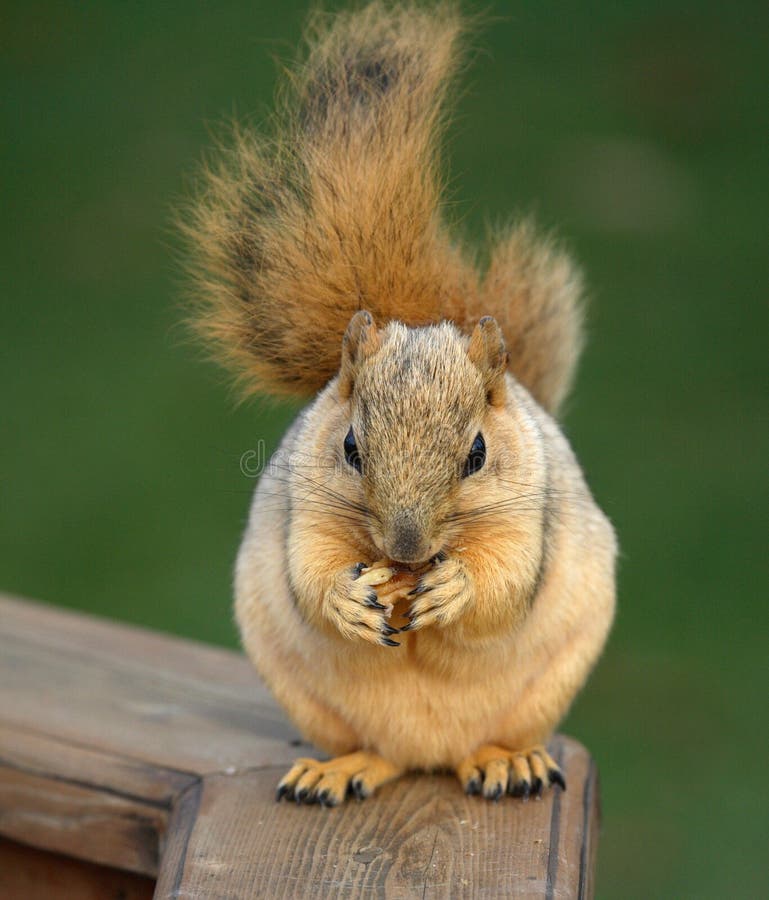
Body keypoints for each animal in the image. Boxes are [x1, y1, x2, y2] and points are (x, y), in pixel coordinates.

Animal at [183, 1, 616, 805]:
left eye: (478, 454)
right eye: (350, 448)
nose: (408, 549)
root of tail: (430, 753)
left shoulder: (531, 511)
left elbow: (509, 579)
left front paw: (456, 587)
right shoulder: (305, 505)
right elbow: (307, 569)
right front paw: (344, 599)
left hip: (548, 686)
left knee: (487, 742)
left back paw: (505, 761)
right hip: (312, 701)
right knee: (376, 753)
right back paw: (341, 769)